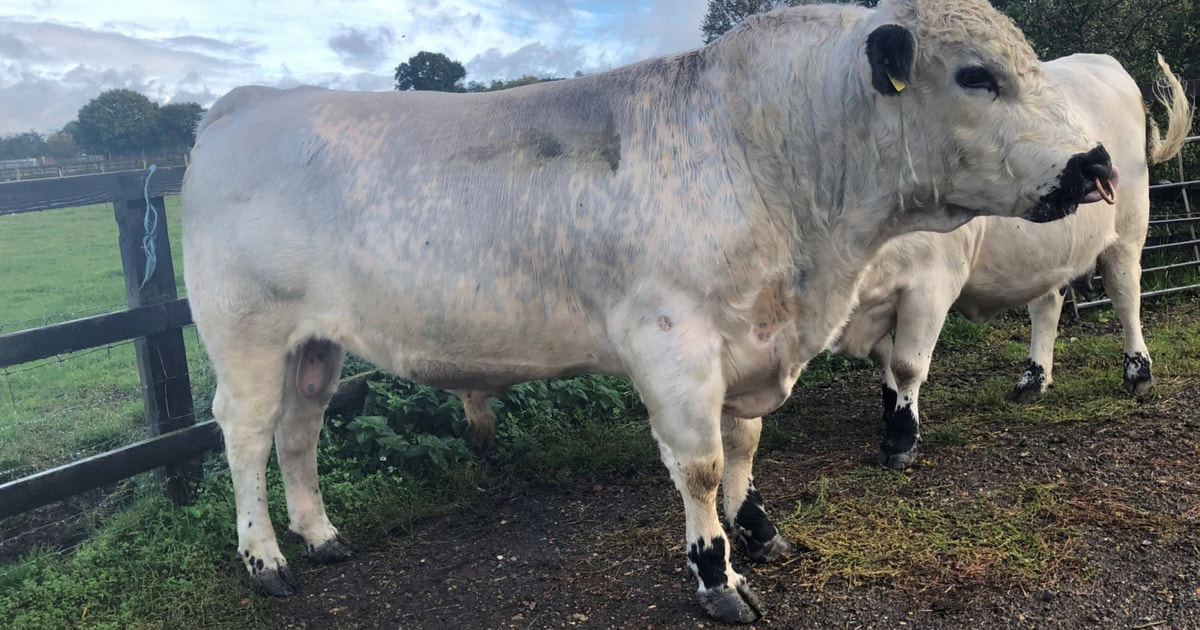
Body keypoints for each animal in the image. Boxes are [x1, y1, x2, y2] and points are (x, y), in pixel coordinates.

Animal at [181, 0, 1115, 623]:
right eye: (975, 75)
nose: (1097, 163)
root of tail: (247, 103)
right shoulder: (674, 344)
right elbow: (699, 466)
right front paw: (716, 575)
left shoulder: (748, 342)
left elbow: (745, 446)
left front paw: (757, 530)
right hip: (245, 334)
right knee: (246, 436)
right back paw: (265, 557)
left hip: (314, 344)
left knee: (299, 433)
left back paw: (320, 534)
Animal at [831, 53, 1193, 471]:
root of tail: (1103, 62)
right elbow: (883, 358)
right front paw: (891, 415)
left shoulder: (929, 285)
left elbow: (907, 364)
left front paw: (901, 439)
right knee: (1048, 305)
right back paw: (1033, 380)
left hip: (1127, 231)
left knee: (1126, 296)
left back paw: (1138, 372)